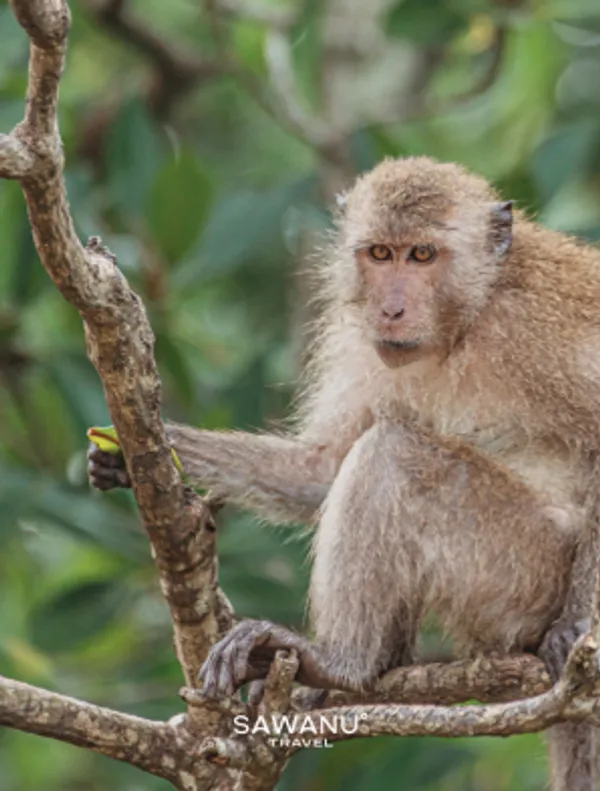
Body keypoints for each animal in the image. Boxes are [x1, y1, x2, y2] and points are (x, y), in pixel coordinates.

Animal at [89, 156, 600, 790]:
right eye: (380, 254)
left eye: (423, 255)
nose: (392, 309)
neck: (470, 318)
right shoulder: (362, 340)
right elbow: (321, 468)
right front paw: (139, 453)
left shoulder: (534, 330)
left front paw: (576, 627)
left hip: (525, 574)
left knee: (392, 454)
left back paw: (344, 663)